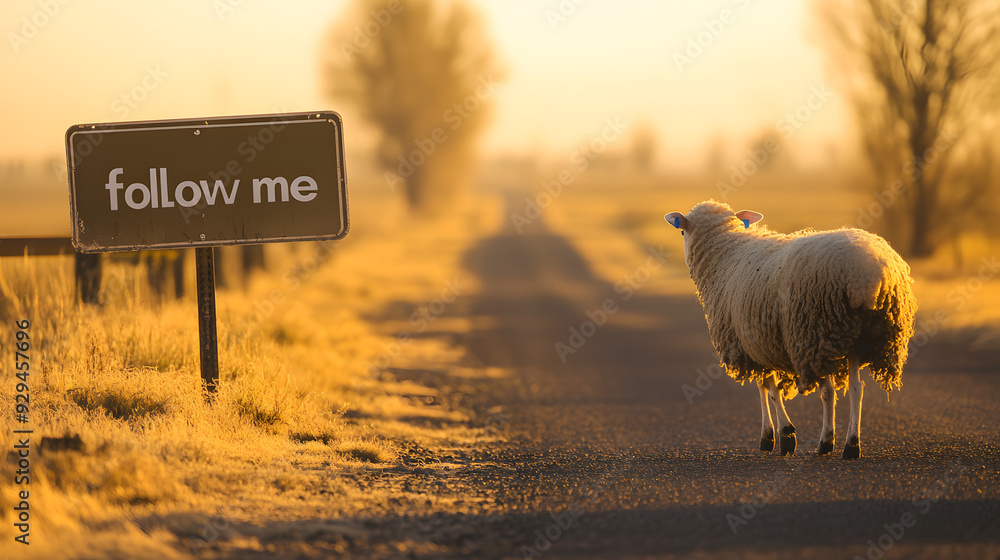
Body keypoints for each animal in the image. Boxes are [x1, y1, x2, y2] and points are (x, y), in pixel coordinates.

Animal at [664, 201, 916, 459]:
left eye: (682, 232)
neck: (726, 251)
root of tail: (868, 279)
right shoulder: (760, 345)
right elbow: (766, 387)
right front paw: (774, 435)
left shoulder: (752, 344)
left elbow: (770, 389)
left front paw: (781, 435)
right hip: (857, 339)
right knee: (857, 389)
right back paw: (851, 445)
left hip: (815, 334)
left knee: (828, 392)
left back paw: (826, 442)